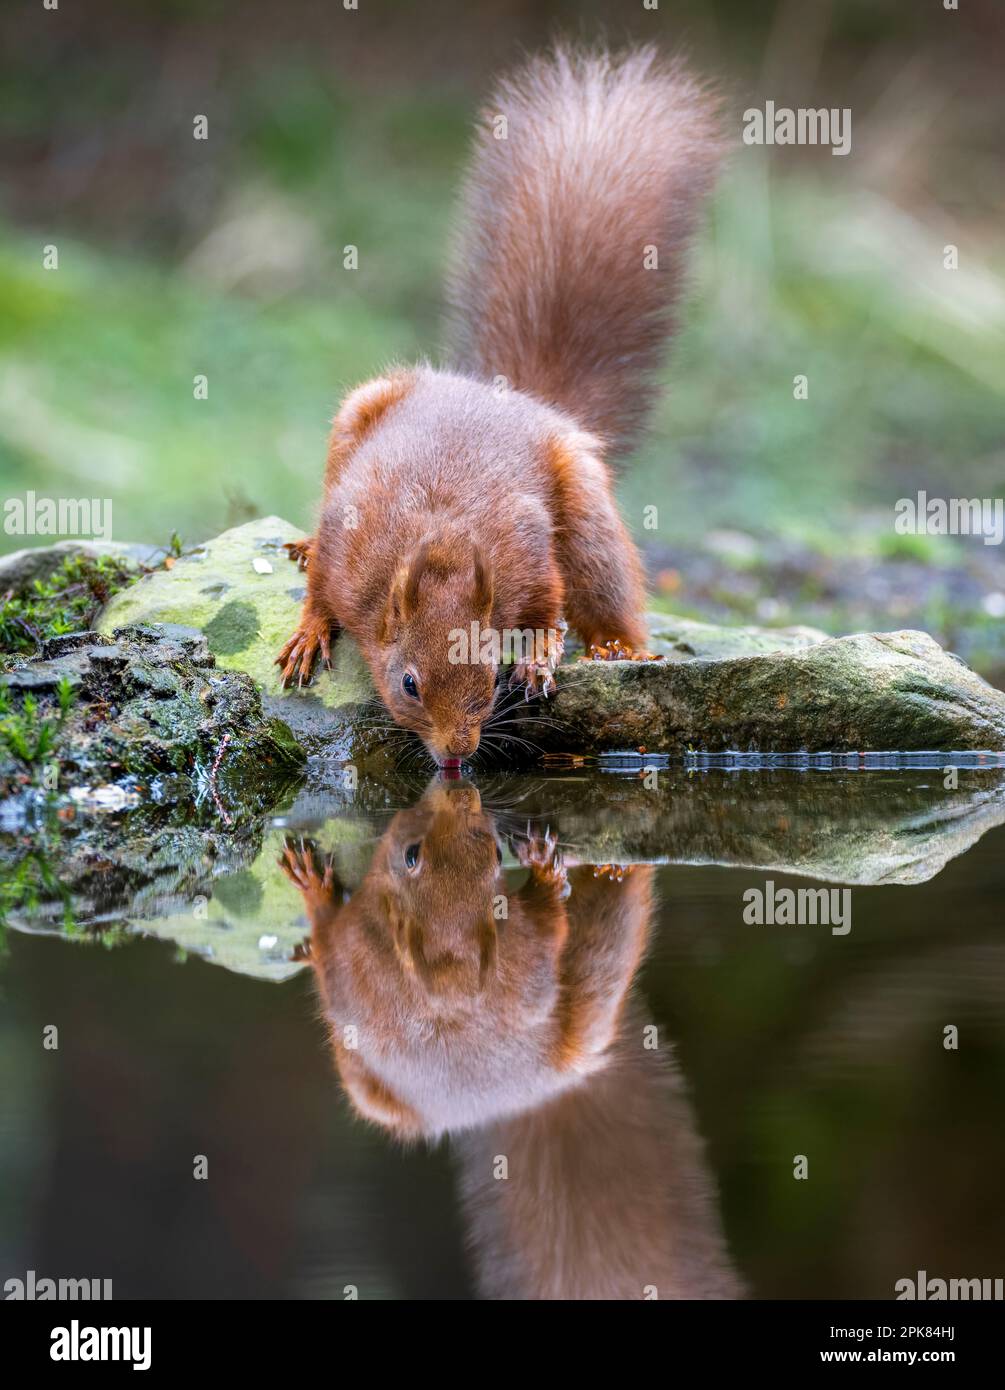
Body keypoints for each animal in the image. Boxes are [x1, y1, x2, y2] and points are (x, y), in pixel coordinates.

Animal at [276, 45, 722, 768]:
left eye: (487, 680)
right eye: (409, 683)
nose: (457, 758)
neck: (441, 547)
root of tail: (514, 397)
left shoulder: (526, 550)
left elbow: (548, 605)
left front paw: (539, 653)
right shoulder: (349, 539)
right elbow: (321, 589)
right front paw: (311, 632)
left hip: (585, 507)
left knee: (607, 585)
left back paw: (619, 646)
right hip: (356, 417)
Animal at [279, 778, 740, 1299]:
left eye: (498, 856)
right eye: (411, 854)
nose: (462, 798)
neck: (450, 983)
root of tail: (517, 1099)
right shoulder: (359, 955)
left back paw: (612, 866)